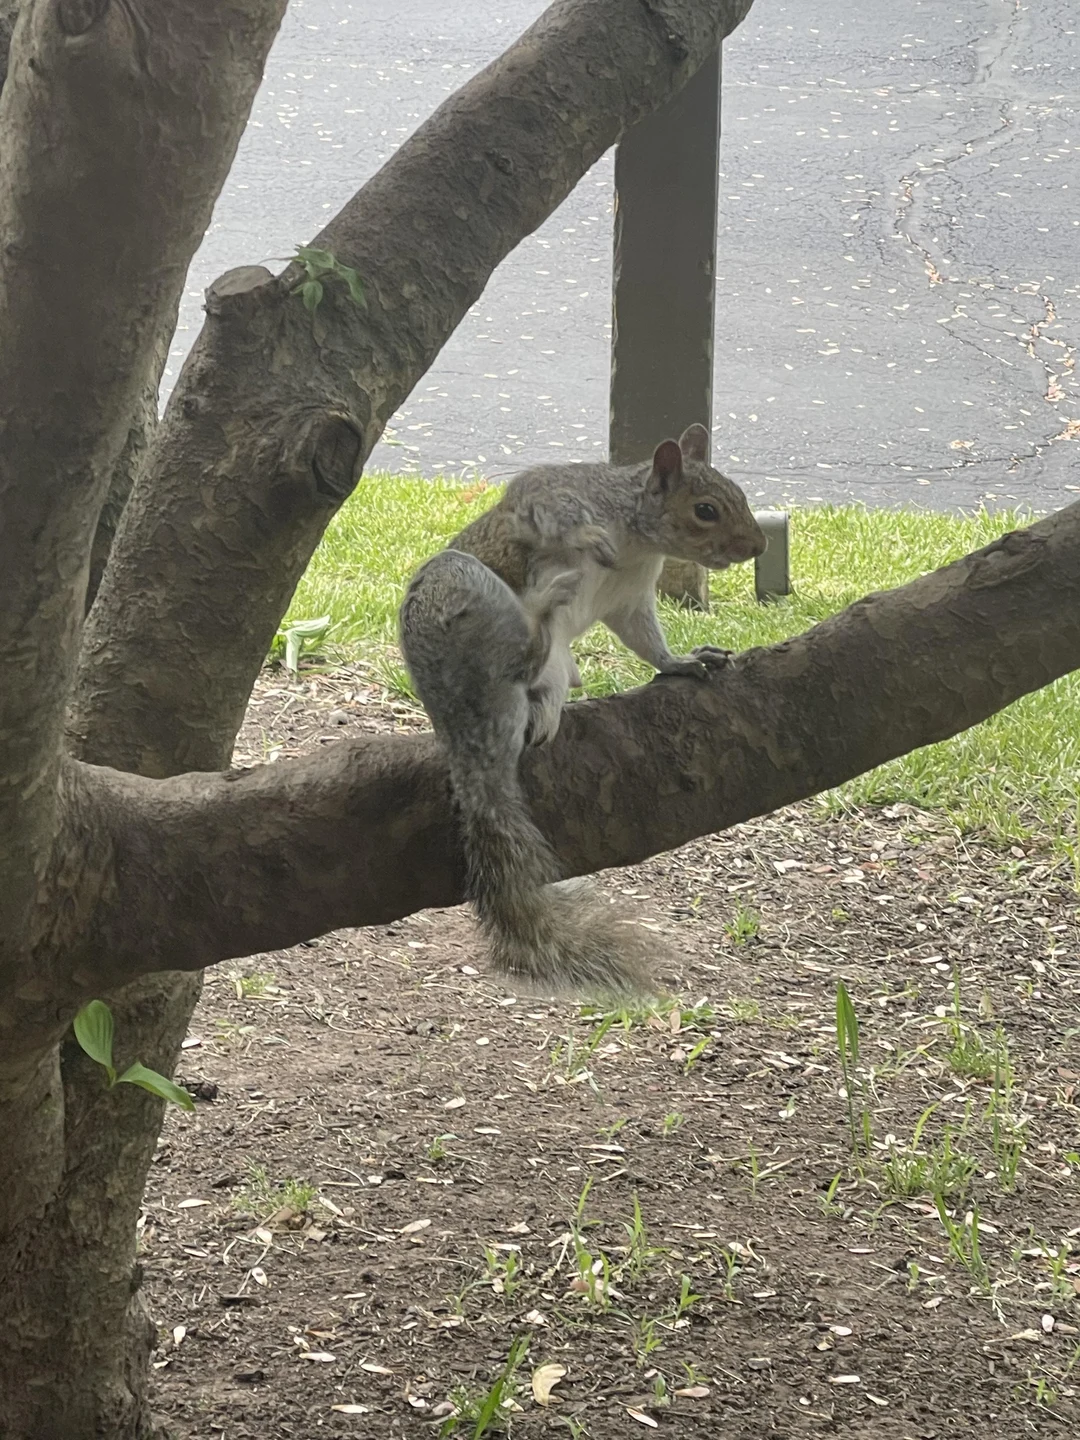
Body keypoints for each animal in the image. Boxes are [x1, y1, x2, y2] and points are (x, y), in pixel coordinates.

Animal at [399, 423, 766, 995]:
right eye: (705, 510)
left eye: (741, 495)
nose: (758, 545)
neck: (639, 538)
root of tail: (460, 729)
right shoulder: (549, 494)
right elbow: (550, 509)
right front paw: (593, 540)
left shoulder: (631, 599)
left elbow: (646, 641)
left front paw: (683, 661)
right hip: (464, 599)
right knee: (521, 652)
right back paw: (547, 605)